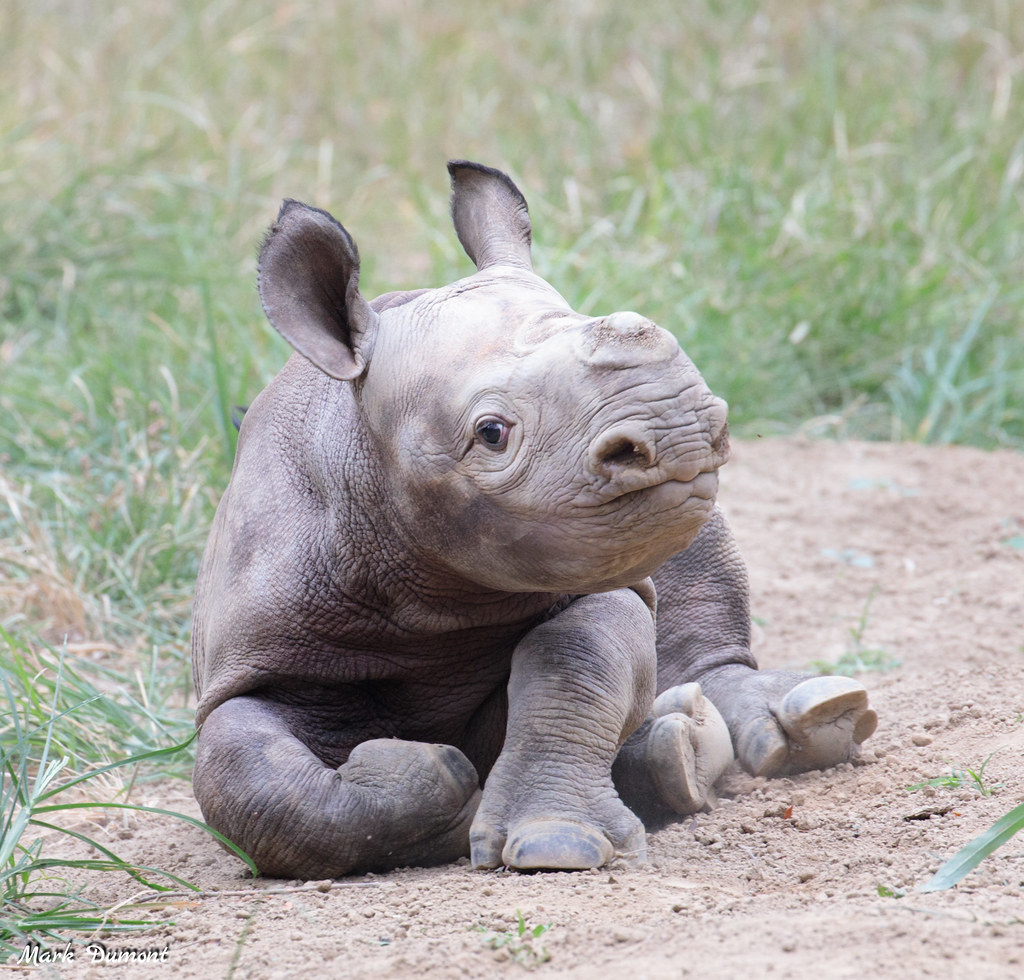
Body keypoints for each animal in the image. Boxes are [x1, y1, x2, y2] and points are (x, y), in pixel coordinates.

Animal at [191, 161, 877, 878]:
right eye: (491, 433)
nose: (683, 428)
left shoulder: (599, 573)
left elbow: (575, 667)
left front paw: (556, 843)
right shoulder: (256, 660)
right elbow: (251, 776)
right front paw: (434, 779)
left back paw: (777, 727)